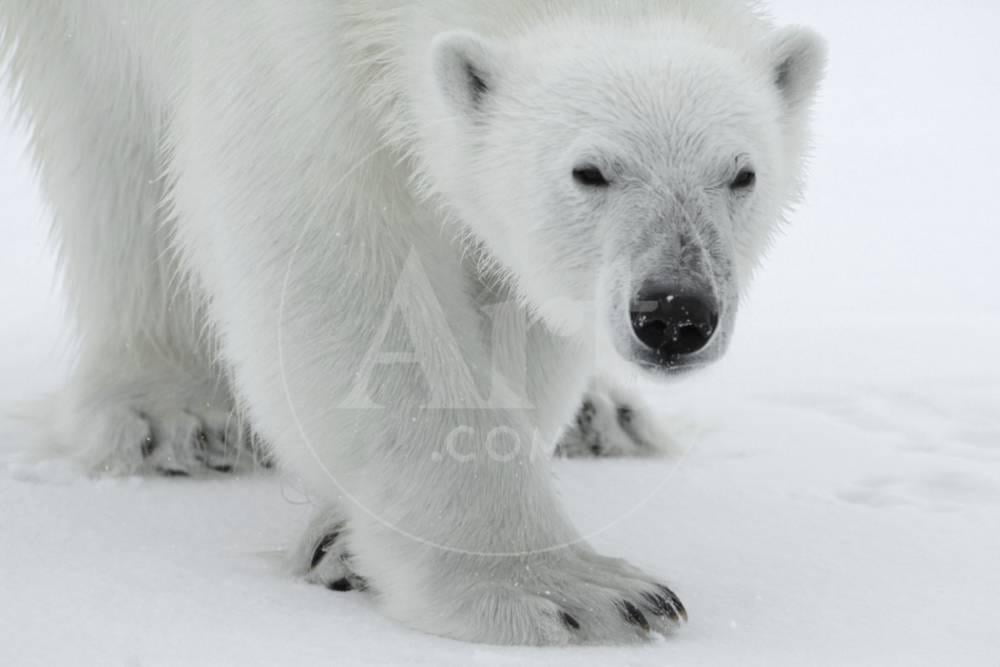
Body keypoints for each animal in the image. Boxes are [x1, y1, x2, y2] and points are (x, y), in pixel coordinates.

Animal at [0, 0, 825, 645]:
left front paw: (343, 542)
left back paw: (602, 414)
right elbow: (335, 259)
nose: (674, 312)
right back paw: (177, 413)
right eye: (588, 171)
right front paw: (566, 592)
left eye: (742, 174)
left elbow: (510, 285)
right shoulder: (293, 53)